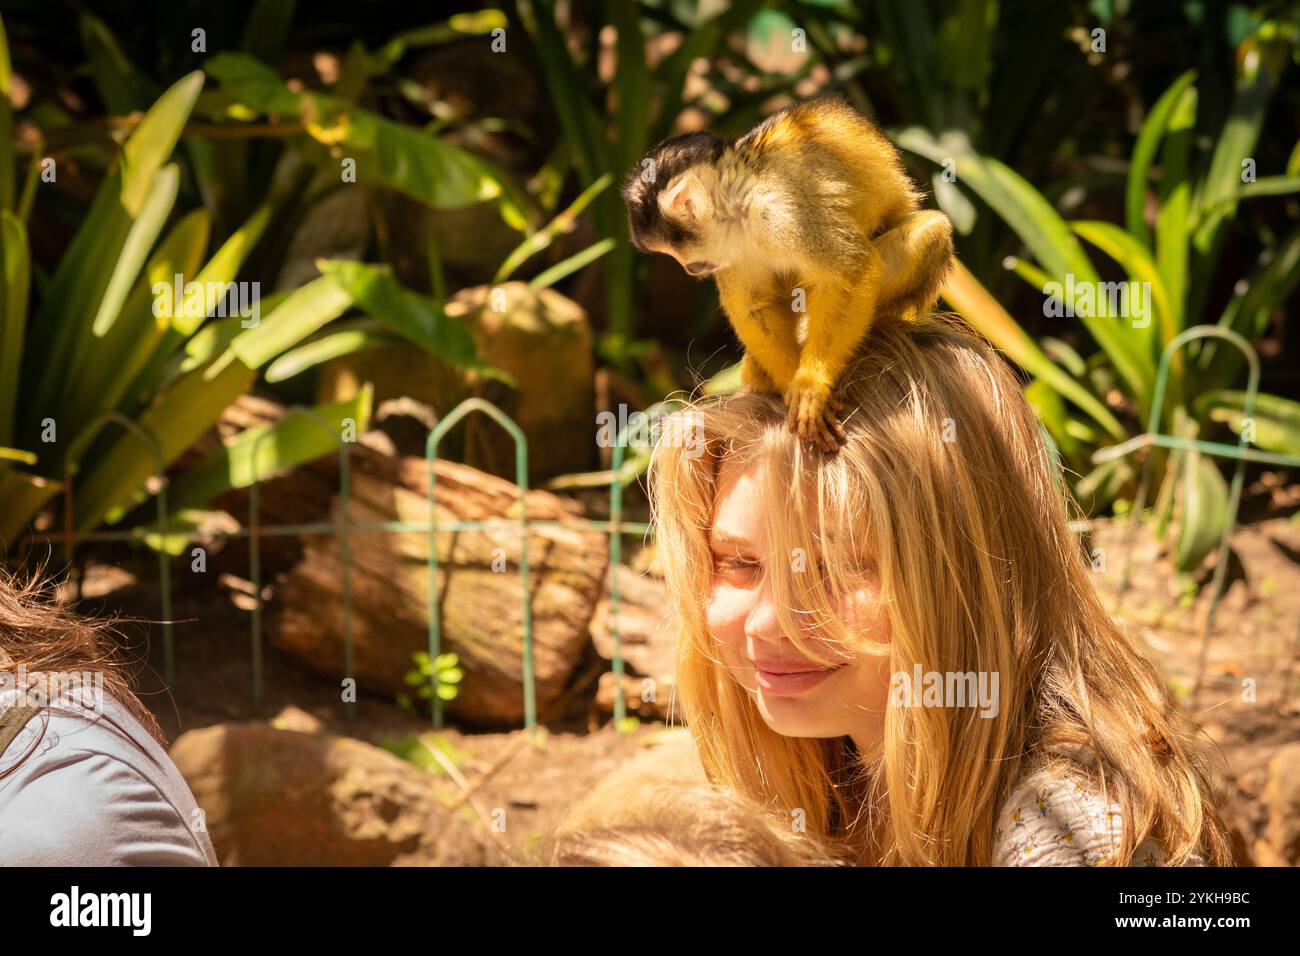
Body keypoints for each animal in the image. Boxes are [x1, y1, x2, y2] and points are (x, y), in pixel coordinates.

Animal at [623, 96, 954, 451]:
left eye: (681, 256)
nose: (689, 269)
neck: (741, 204)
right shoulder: (731, 250)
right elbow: (755, 305)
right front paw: (787, 383)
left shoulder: (786, 211)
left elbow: (849, 272)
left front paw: (811, 384)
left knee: (931, 232)